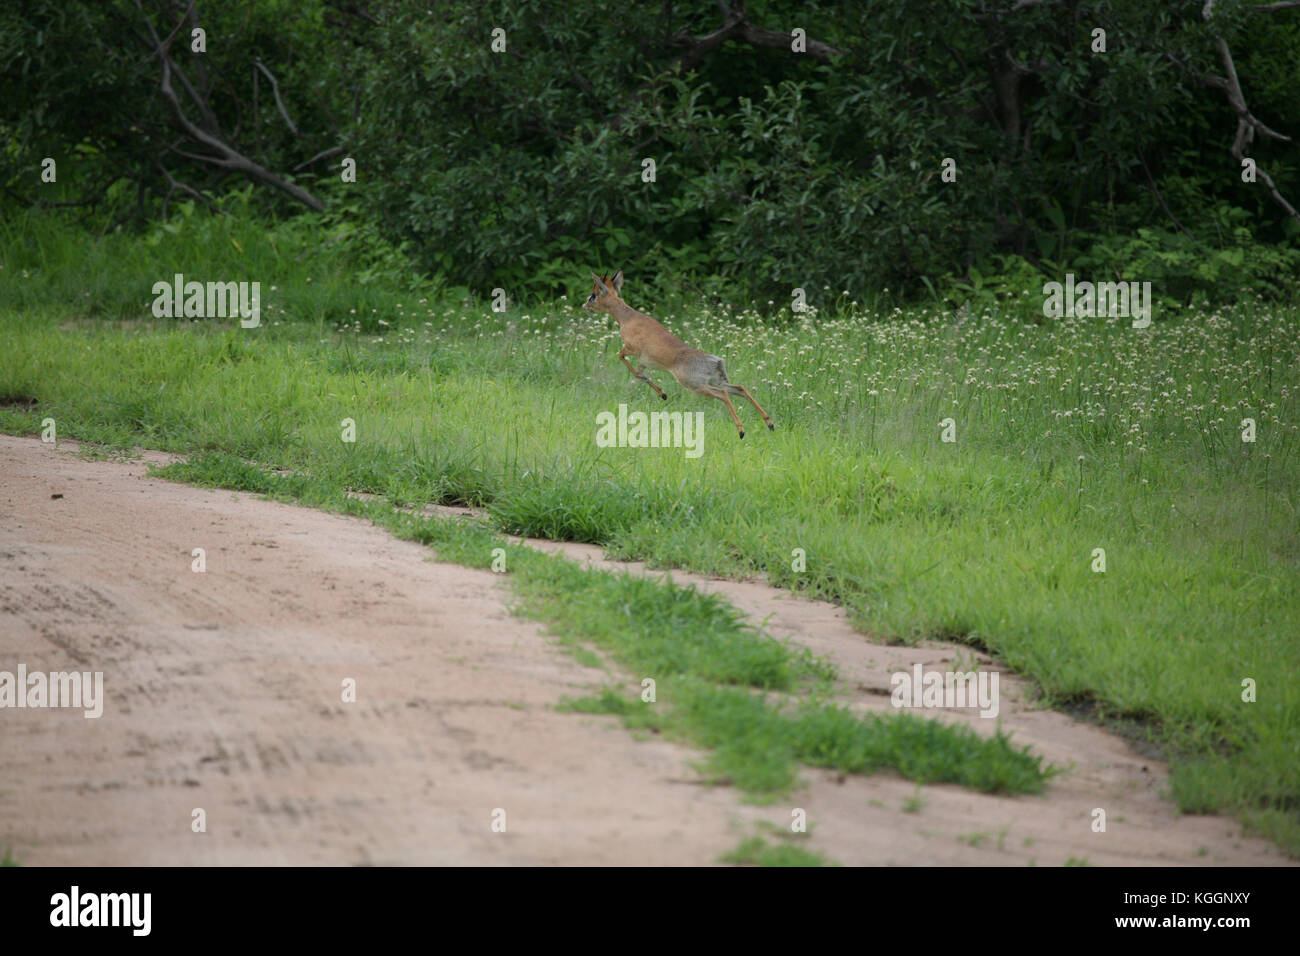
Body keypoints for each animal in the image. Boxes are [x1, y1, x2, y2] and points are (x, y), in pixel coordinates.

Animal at [582, 270, 774, 439]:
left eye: (593, 295)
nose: (585, 306)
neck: (626, 318)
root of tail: (715, 360)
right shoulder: (644, 361)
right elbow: (638, 373)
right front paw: (661, 393)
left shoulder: (631, 349)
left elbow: (621, 357)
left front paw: (662, 393)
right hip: (715, 380)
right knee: (740, 388)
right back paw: (769, 423)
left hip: (695, 385)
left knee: (724, 394)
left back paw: (741, 431)